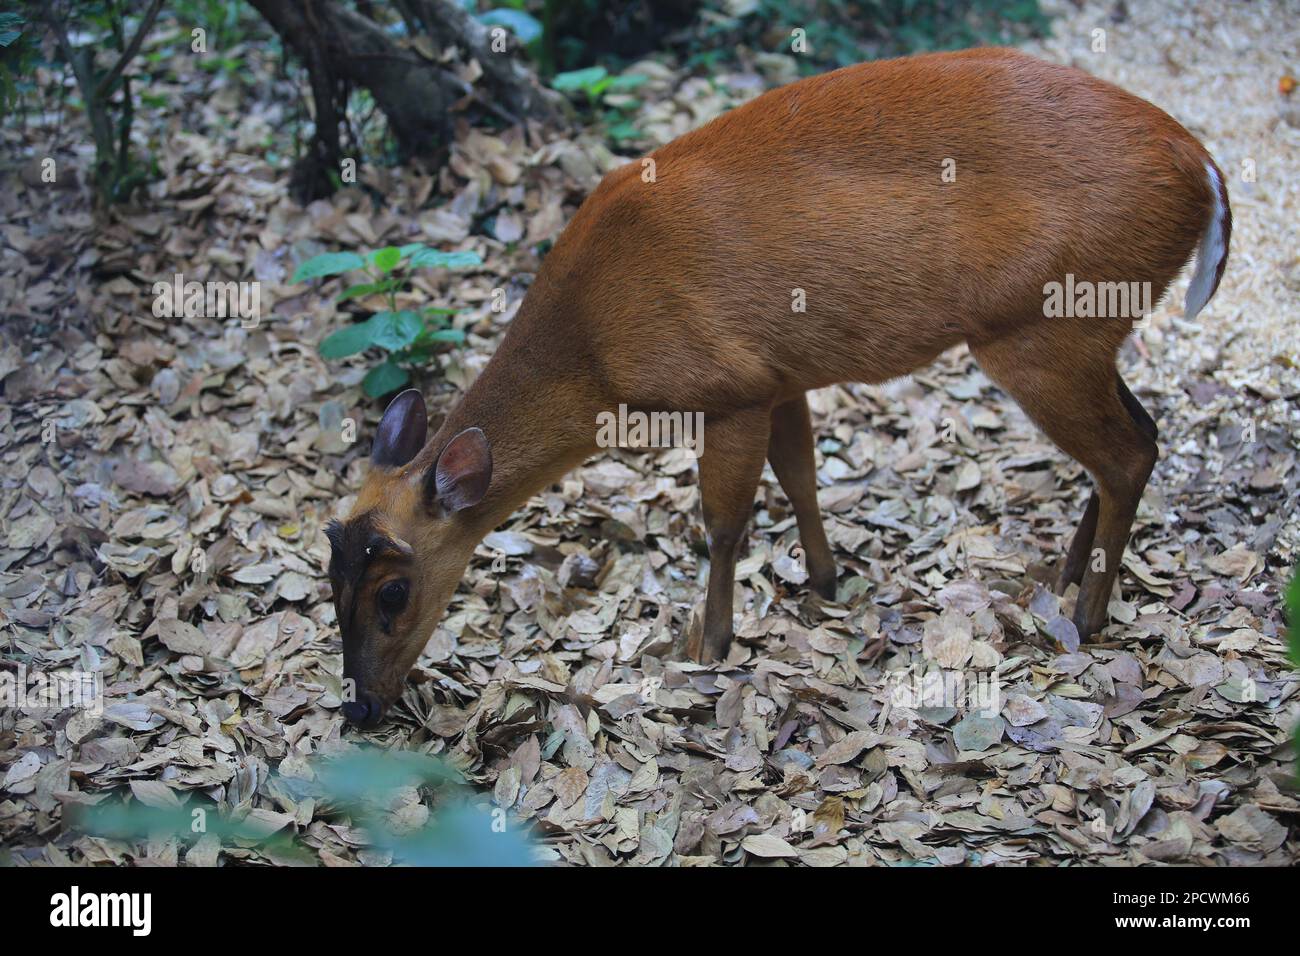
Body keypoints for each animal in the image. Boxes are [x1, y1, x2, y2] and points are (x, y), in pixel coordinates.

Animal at [325, 47, 1230, 728]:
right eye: (327, 573)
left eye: (394, 591)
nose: (361, 708)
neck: (595, 352)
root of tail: (1203, 166)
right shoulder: (780, 374)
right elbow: (801, 475)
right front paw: (825, 583)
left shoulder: (726, 384)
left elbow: (724, 521)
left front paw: (708, 643)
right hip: (1083, 332)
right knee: (1140, 435)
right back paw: (1063, 576)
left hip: (1042, 326)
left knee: (1125, 454)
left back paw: (1086, 617)